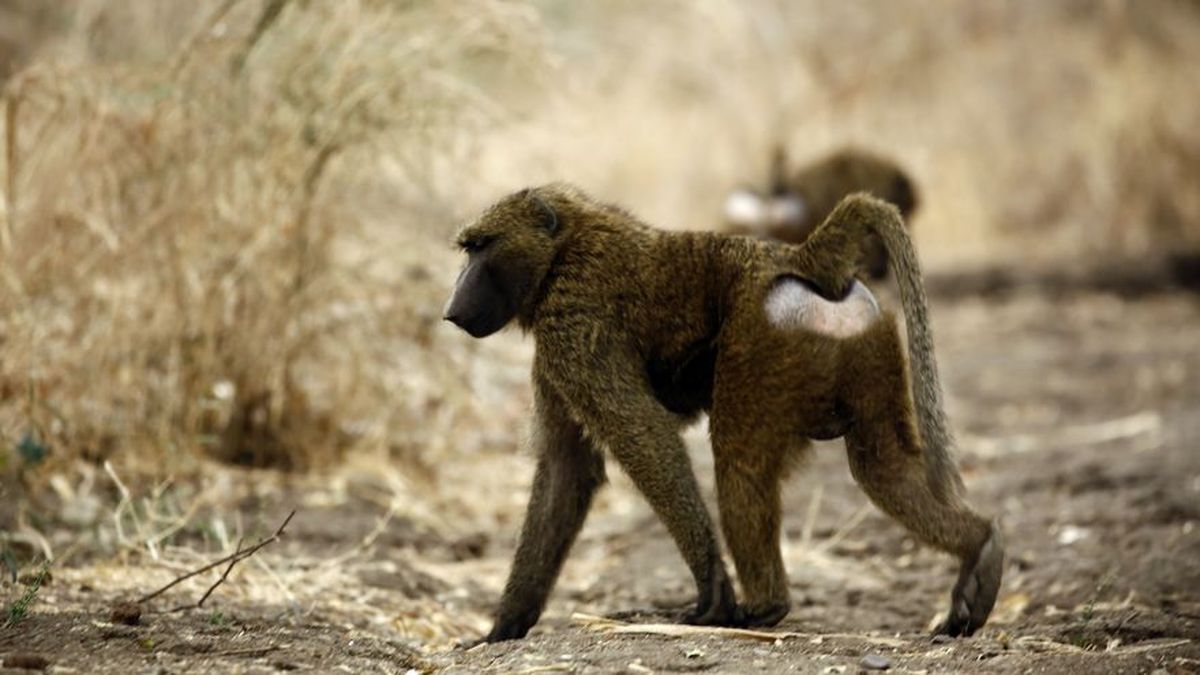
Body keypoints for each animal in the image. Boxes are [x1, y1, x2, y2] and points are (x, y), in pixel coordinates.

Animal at [443, 184, 1003, 643]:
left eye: (480, 247)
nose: (451, 307)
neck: (566, 247)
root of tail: (798, 256)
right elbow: (567, 470)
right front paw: (502, 628)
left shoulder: (572, 322)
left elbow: (646, 437)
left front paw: (712, 586)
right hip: (869, 342)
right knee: (883, 470)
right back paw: (981, 550)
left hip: (761, 339)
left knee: (740, 464)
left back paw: (758, 610)